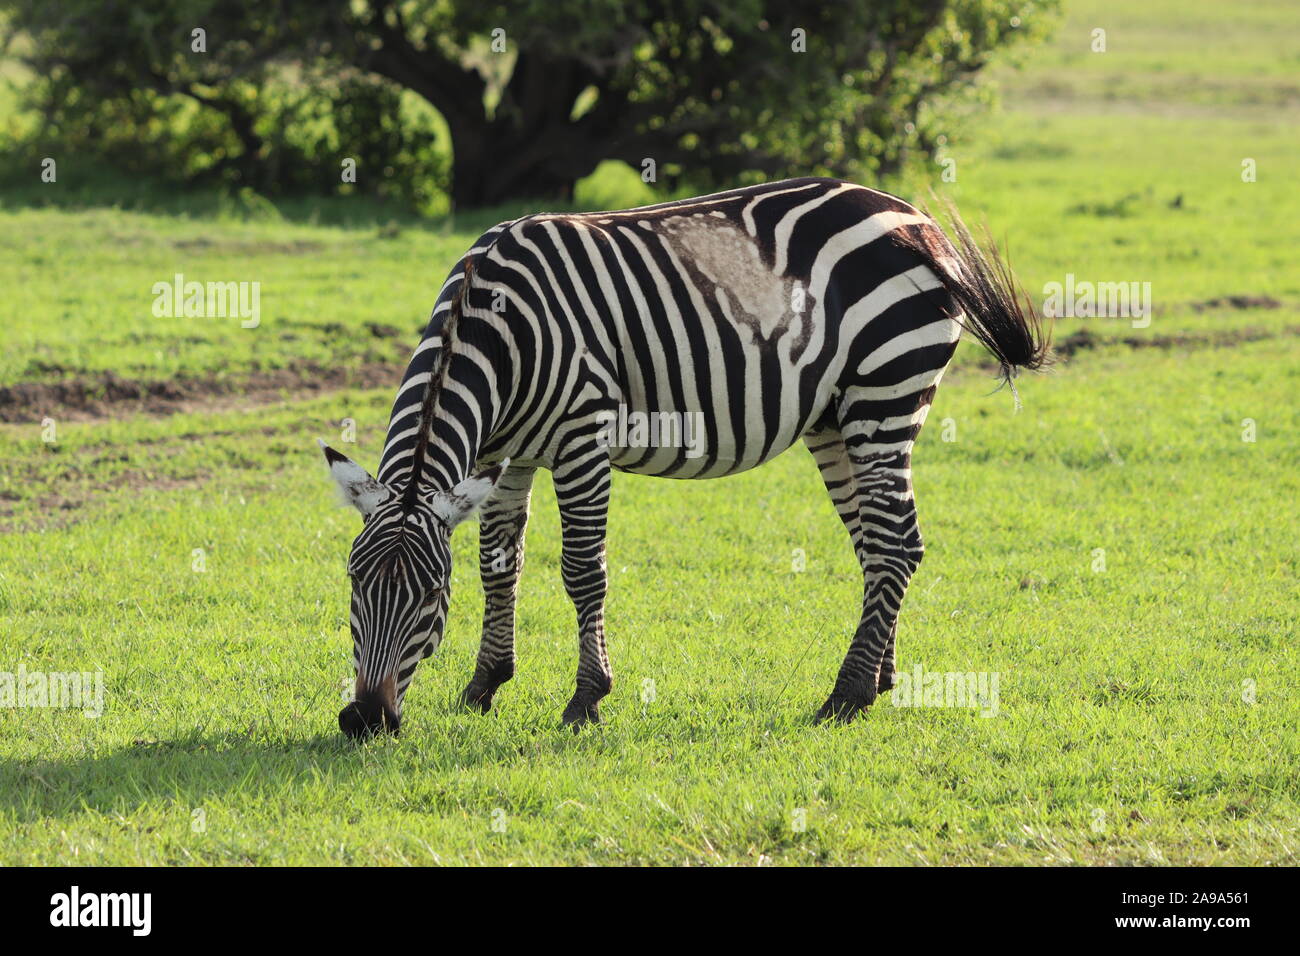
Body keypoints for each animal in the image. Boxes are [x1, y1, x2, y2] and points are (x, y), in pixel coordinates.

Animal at [320, 177, 1050, 739]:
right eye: (353, 581)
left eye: (430, 595)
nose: (365, 720)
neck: (498, 329)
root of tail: (916, 216)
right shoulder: (505, 455)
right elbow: (501, 567)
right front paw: (484, 686)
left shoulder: (582, 440)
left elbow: (583, 572)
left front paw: (586, 699)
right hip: (836, 418)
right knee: (879, 545)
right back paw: (880, 677)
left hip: (886, 395)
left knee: (897, 543)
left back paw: (844, 696)